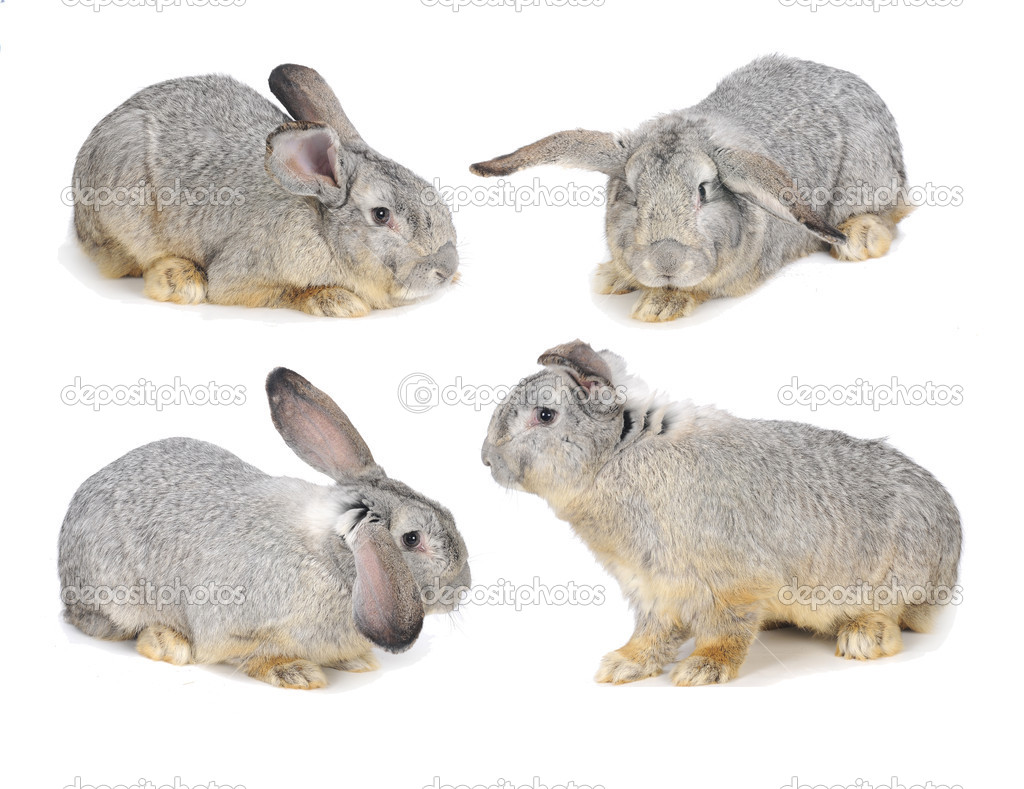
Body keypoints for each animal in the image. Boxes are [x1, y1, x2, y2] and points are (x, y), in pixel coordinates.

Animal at [58, 368, 471, 689]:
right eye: (412, 539)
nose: (463, 588)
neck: (331, 560)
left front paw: (356, 662)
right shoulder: (234, 628)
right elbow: (251, 656)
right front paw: (297, 674)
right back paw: (167, 642)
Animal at [71, 64, 459, 317]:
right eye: (381, 215)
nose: (447, 267)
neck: (322, 228)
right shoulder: (244, 276)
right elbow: (282, 292)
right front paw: (339, 302)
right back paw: (180, 279)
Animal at [470, 55, 912, 322]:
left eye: (703, 191)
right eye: (632, 195)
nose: (666, 261)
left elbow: (701, 290)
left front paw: (659, 307)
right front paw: (613, 277)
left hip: (864, 181)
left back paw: (860, 238)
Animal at [481, 340, 961, 685]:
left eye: (545, 415)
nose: (485, 459)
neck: (616, 457)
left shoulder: (727, 581)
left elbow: (723, 630)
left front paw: (701, 669)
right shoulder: (651, 586)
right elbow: (651, 632)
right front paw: (623, 665)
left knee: (889, 616)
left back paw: (862, 638)